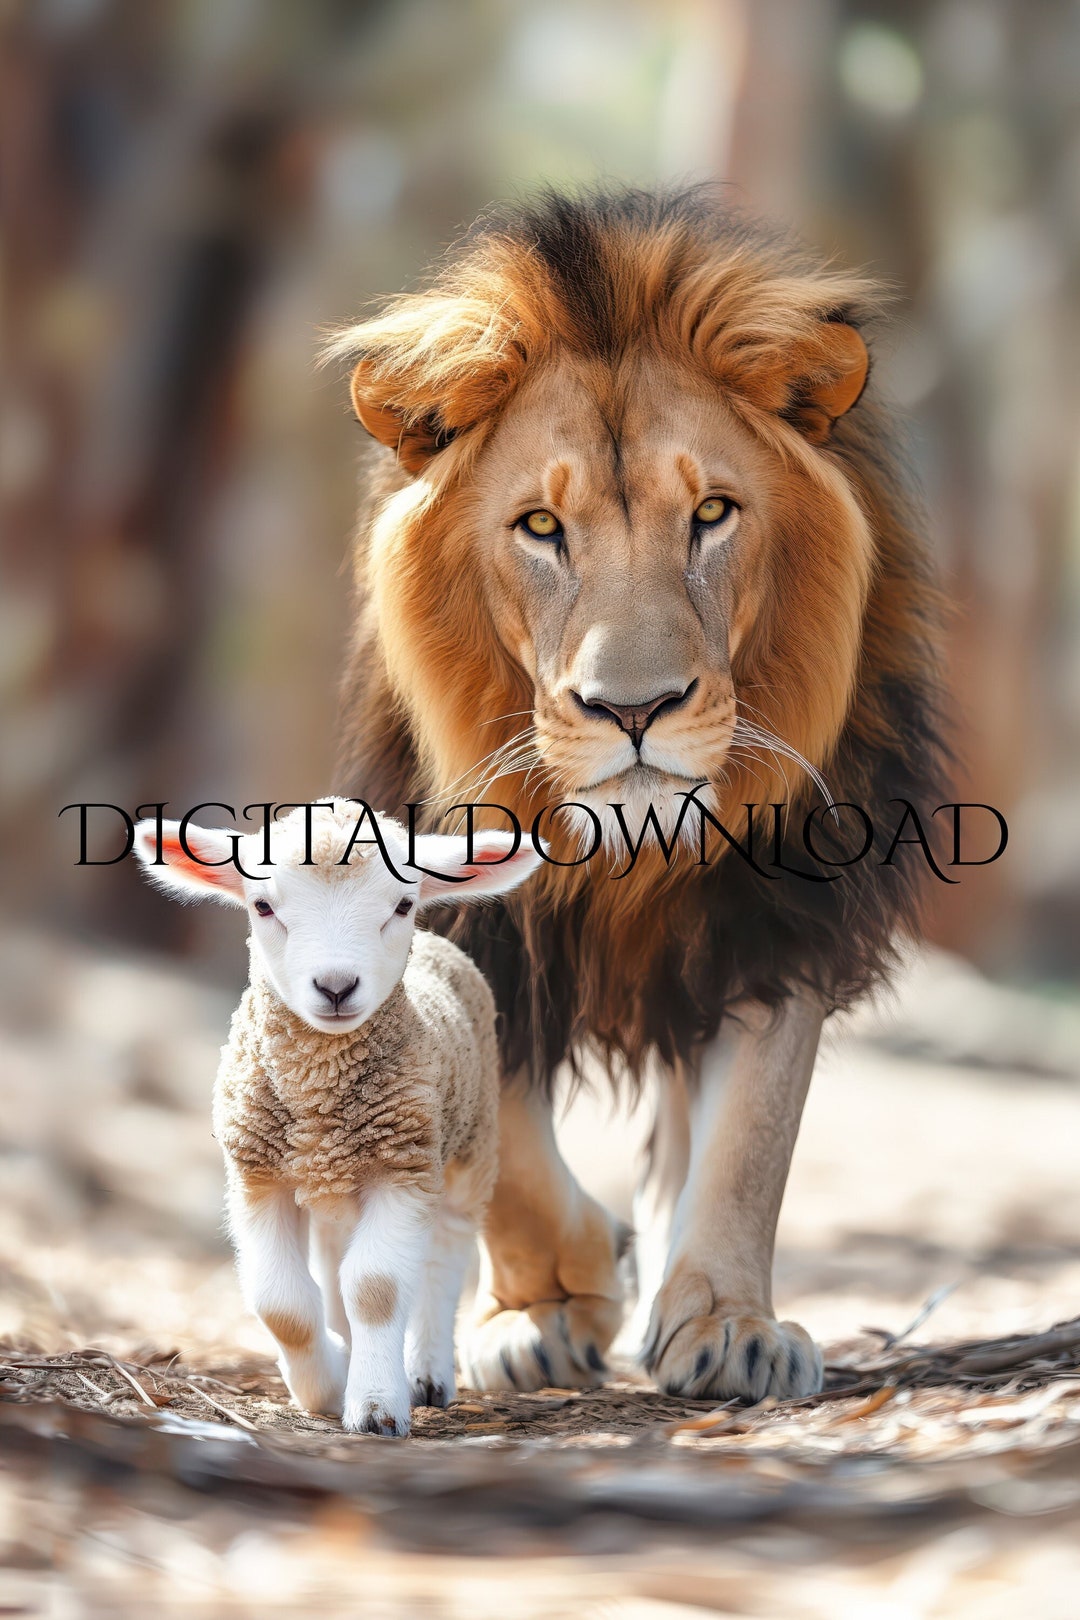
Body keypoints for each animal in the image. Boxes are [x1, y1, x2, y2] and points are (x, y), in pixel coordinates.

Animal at [133, 800, 542, 1436]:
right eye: (263, 905)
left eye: (401, 904)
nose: (335, 986)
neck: (318, 1100)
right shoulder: (257, 1175)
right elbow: (283, 1303)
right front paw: (328, 1386)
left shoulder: (403, 1165)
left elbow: (377, 1288)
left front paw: (375, 1404)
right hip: (336, 1190)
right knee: (333, 1262)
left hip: (470, 1146)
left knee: (444, 1252)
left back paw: (427, 1371)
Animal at [328, 187, 947, 1403]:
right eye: (539, 528)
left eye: (711, 514)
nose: (634, 708)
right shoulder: (465, 913)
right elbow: (510, 1152)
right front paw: (551, 1302)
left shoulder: (775, 914)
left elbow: (750, 1137)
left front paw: (725, 1322)